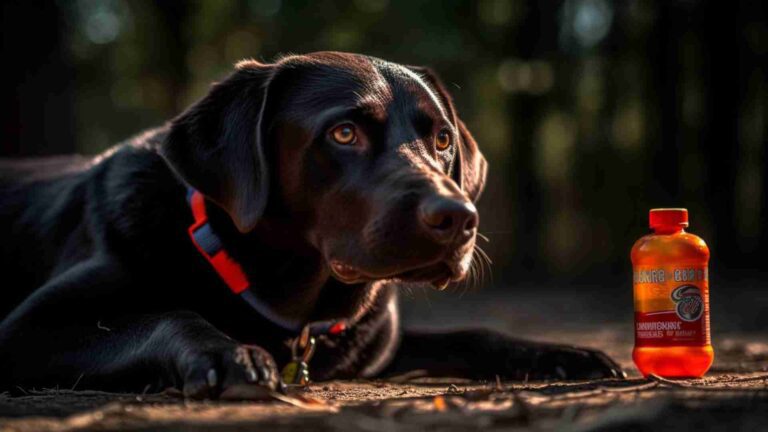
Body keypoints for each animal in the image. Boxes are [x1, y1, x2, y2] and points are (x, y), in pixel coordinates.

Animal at [0, 52, 624, 396]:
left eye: (443, 139)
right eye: (344, 133)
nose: (459, 219)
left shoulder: (379, 345)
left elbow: (473, 333)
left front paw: (566, 355)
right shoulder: (24, 330)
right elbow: (166, 314)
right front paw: (230, 354)